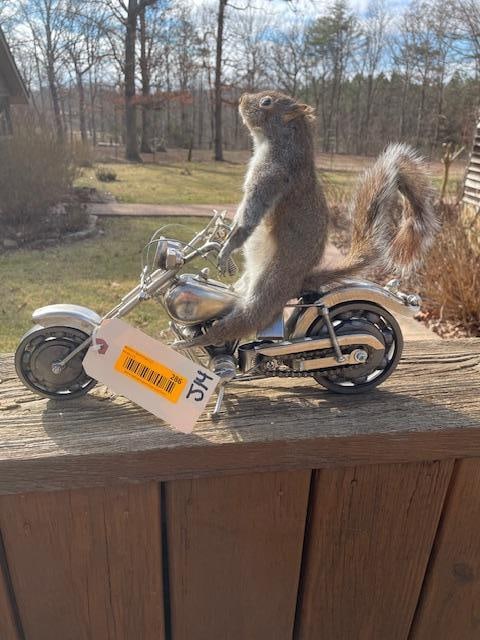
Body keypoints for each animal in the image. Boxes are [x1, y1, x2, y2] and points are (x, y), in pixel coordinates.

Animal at [181, 90, 438, 348]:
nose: (242, 98)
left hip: (272, 281)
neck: (276, 145)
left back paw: (198, 340)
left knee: (250, 317)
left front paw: (226, 250)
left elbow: (249, 220)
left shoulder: (272, 176)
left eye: (266, 102)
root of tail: (300, 281)